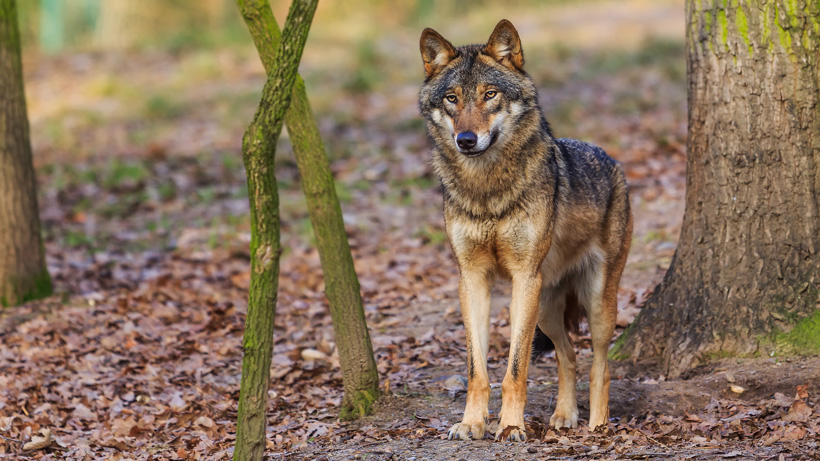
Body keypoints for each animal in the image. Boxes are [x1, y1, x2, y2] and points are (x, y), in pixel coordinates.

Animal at [418, 20, 632, 441]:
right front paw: (472, 424)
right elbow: (478, 370)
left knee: (600, 364)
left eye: (490, 95)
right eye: (452, 98)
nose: (466, 140)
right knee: (569, 356)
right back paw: (564, 416)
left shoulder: (522, 276)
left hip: (595, 302)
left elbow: (515, 369)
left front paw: (511, 426)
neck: (486, 190)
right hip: (545, 307)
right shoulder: (472, 278)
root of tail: (614, 161)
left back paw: (598, 425)